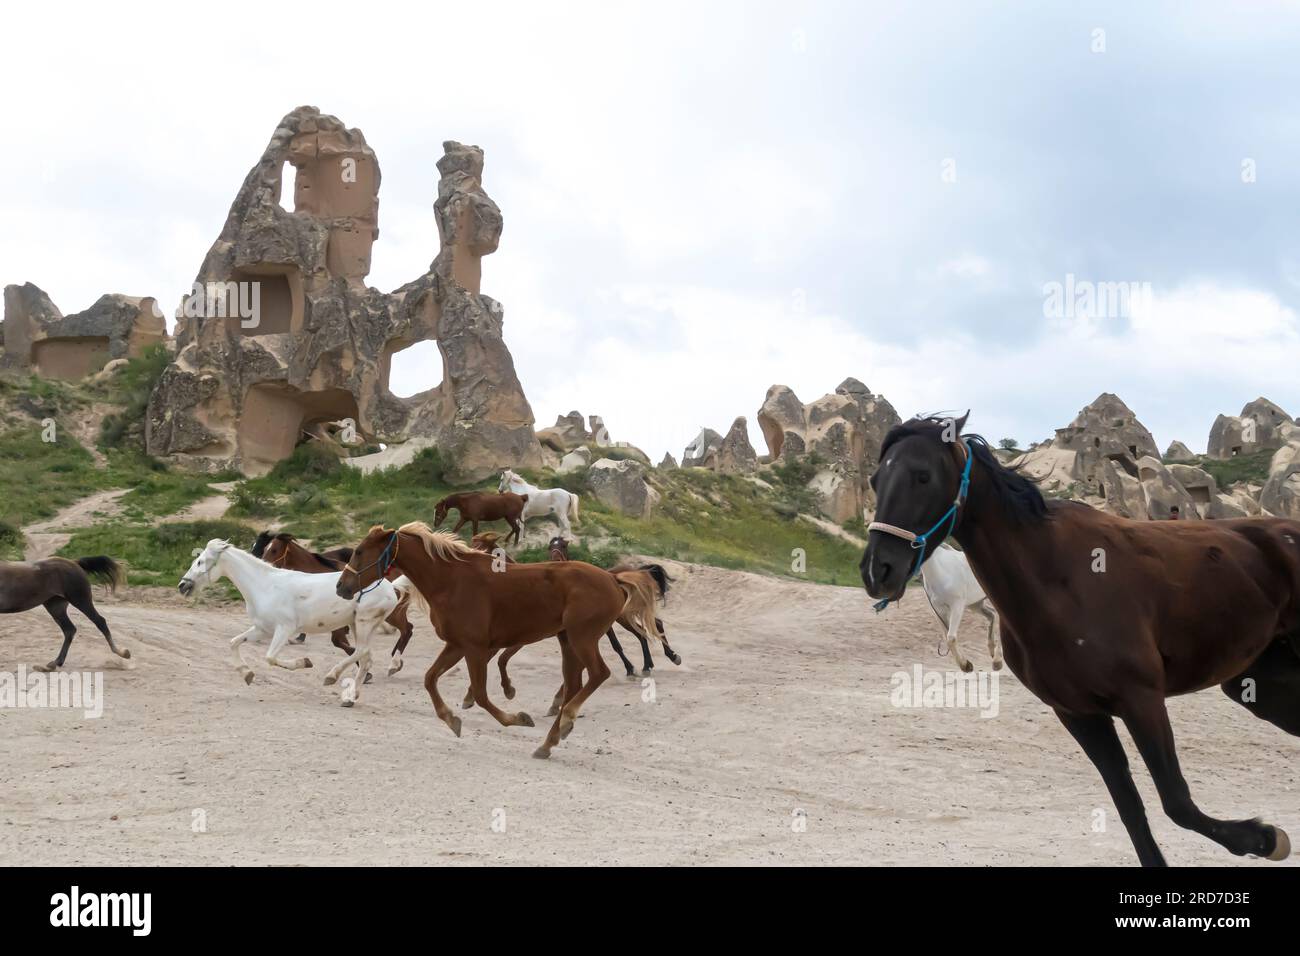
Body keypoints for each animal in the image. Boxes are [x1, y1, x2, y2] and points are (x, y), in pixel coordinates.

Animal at [1, 556, 129, 671]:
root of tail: (74, 562)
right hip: (56, 607)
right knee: (69, 629)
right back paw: (55, 663)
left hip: (80, 600)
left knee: (100, 622)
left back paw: (123, 653)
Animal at [179, 539, 401, 705]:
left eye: (200, 561)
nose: (182, 585)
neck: (265, 586)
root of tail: (390, 587)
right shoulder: (262, 629)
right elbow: (234, 643)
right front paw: (246, 674)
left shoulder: (284, 629)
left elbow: (270, 657)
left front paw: (305, 662)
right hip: (357, 624)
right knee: (365, 659)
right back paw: (350, 697)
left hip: (364, 621)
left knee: (362, 652)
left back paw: (331, 676)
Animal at [253, 530, 417, 677]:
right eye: (265, 549)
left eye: (274, 550)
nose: (264, 564)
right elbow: (341, 643)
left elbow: (340, 642)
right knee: (406, 629)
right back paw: (396, 660)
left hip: (393, 613)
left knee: (407, 629)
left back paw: (394, 663)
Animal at [336, 522, 633, 759]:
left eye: (359, 551)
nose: (341, 587)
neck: (450, 581)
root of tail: (613, 579)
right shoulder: (457, 645)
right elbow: (430, 679)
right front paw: (451, 719)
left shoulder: (475, 648)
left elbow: (480, 694)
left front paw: (517, 718)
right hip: (567, 641)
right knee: (574, 685)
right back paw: (549, 742)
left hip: (582, 637)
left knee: (598, 674)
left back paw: (566, 719)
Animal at [918, 543, 1002, 672]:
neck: (940, 569)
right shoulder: (938, 610)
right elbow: (947, 637)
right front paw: (966, 664)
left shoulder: (957, 606)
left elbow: (951, 638)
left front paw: (966, 665)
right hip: (976, 604)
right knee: (993, 614)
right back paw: (992, 651)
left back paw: (997, 662)